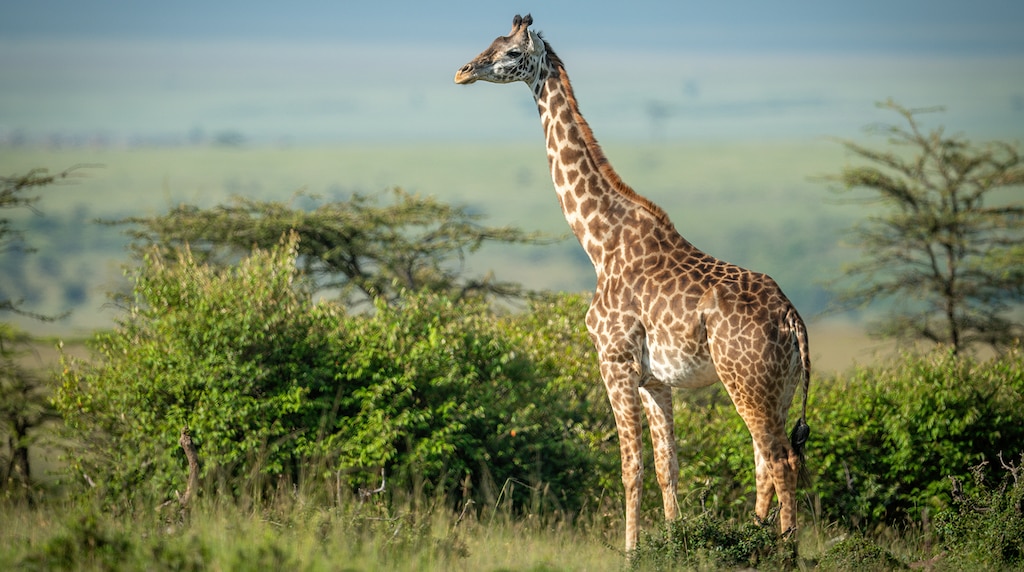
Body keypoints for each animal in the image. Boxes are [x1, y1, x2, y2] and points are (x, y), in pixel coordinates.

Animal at [455, 15, 810, 552]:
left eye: (512, 52)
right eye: (491, 42)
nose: (463, 71)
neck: (599, 242)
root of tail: (793, 319)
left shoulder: (615, 362)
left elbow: (630, 467)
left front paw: (631, 551)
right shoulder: (655, 380)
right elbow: (667, 467)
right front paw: (677, 542)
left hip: (746, 381)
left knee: (781, 461)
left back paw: (783, 550)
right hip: (778, 388)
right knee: (765, 462)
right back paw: (756, 540)